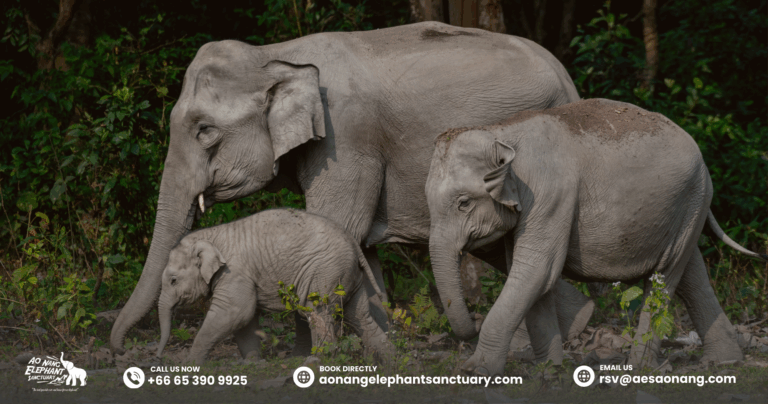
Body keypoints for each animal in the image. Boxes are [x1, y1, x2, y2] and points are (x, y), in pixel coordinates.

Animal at [155, 208, 395, 365]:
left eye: (173, 280)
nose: (157, 358)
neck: (209, 235)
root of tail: (354, 242)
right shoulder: (243, 277)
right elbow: (245, 319)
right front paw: (252, 363)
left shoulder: (234, 272)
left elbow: (234, 312)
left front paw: (189, 366)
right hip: (348, 275)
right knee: (360, 315)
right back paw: (392, 362)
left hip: (326, 271)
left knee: (319, 311)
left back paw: (317, 361)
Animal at [425, 98, 768, 376]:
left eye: (463, 203)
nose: (473, 320)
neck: (501, 131)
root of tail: (702, 158)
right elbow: (533, 277)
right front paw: (549, 369)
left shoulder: (551, 196)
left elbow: (535, 271)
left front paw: (475, 371)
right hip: (687, 207)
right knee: (691, 272)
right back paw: (724, 361)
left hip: (693, 198)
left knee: (664, 276)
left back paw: (640, 367)